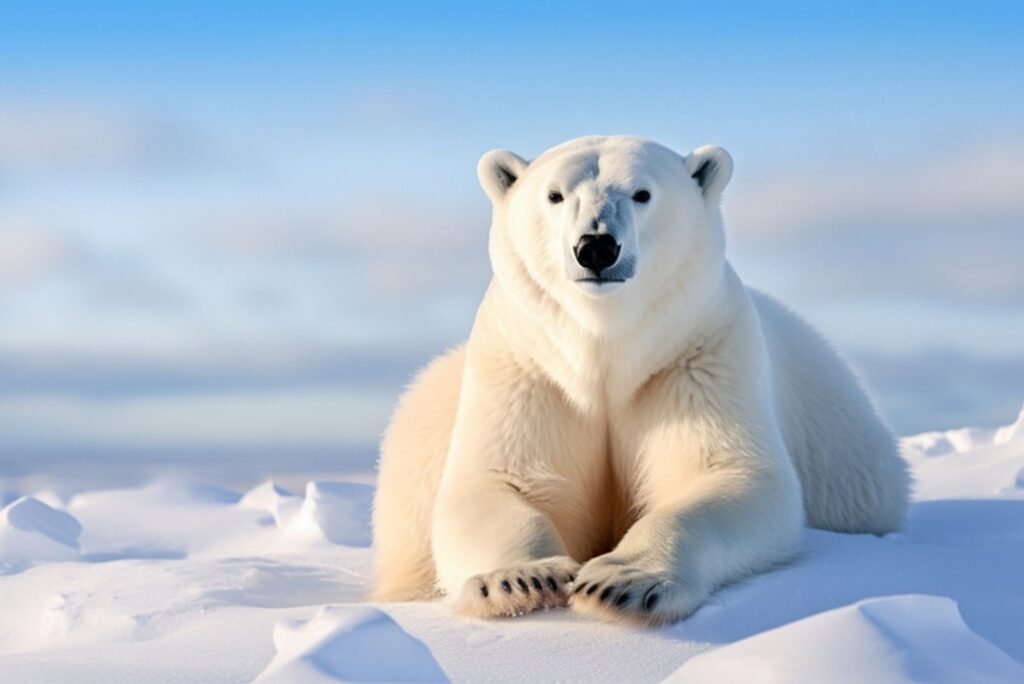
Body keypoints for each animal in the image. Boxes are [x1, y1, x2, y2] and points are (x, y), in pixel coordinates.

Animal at [371, 135, 909, 625]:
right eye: (555, 195)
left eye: (642, 193)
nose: (596, 246)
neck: (607, 350)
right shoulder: (526, 369)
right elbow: (493, 481)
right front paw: (521, 579)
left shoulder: (697, 357)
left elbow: (727, 474)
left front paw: (621, 582)